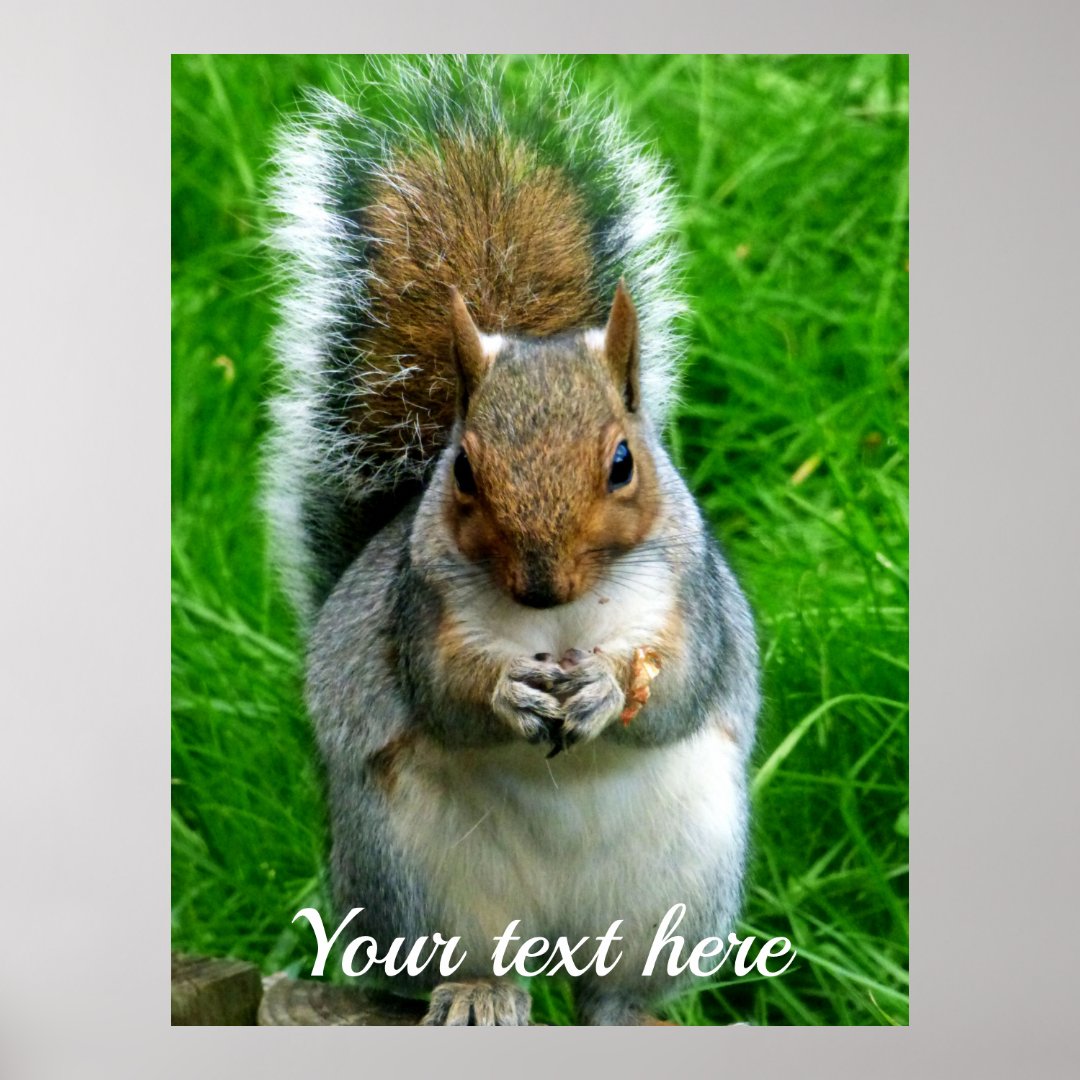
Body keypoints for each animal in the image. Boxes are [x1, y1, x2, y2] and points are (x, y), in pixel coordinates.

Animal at [266, 56, 760, 1026]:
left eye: (623, 461)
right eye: (461, 469)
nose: (539, 583)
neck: (563, 620)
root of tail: (558, 931)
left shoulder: (693, 604)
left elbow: (680, 683)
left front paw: (607, 686)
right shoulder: (417, 607)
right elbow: (442, 692)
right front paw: (508, 692)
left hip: (677, 890)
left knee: (615, 985)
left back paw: (628, 1010)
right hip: (414, 882)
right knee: (473, 956)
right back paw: (477, 991)